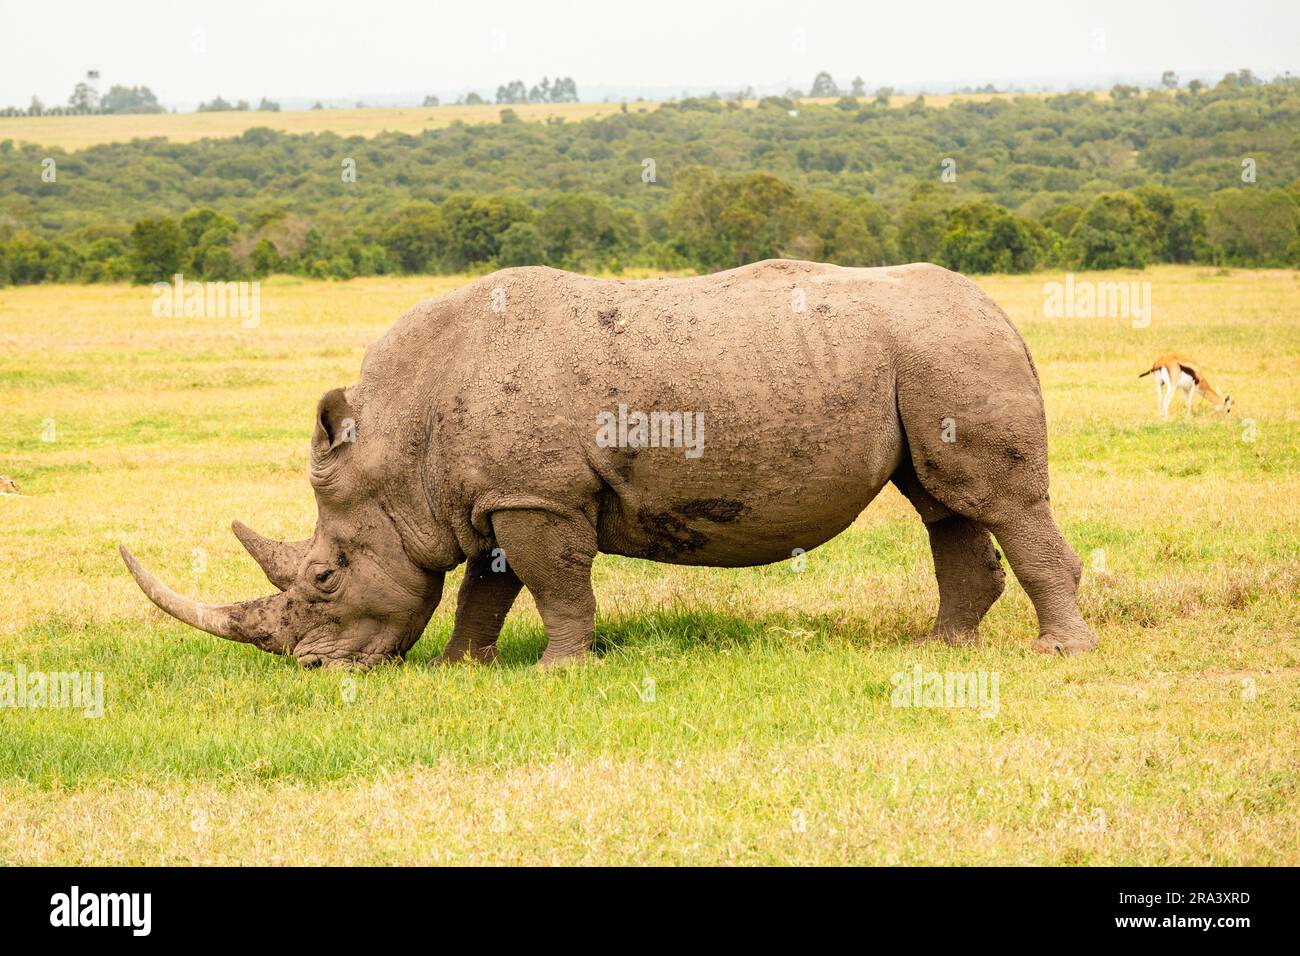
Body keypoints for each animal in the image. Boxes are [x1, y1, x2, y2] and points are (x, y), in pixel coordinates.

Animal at [121, 259, 1098, 667]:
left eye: (324, 576)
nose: (313, 670)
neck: (402, 446)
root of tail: (999, 309)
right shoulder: (495, 497)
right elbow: (485, 587)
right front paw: (463, 668)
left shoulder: (536, 497)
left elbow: (554, 585)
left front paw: (559, 671)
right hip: (927, 353)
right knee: (944, 504)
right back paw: (943, 649)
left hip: (951, 349)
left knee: (996, 500)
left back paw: (1057, 654)